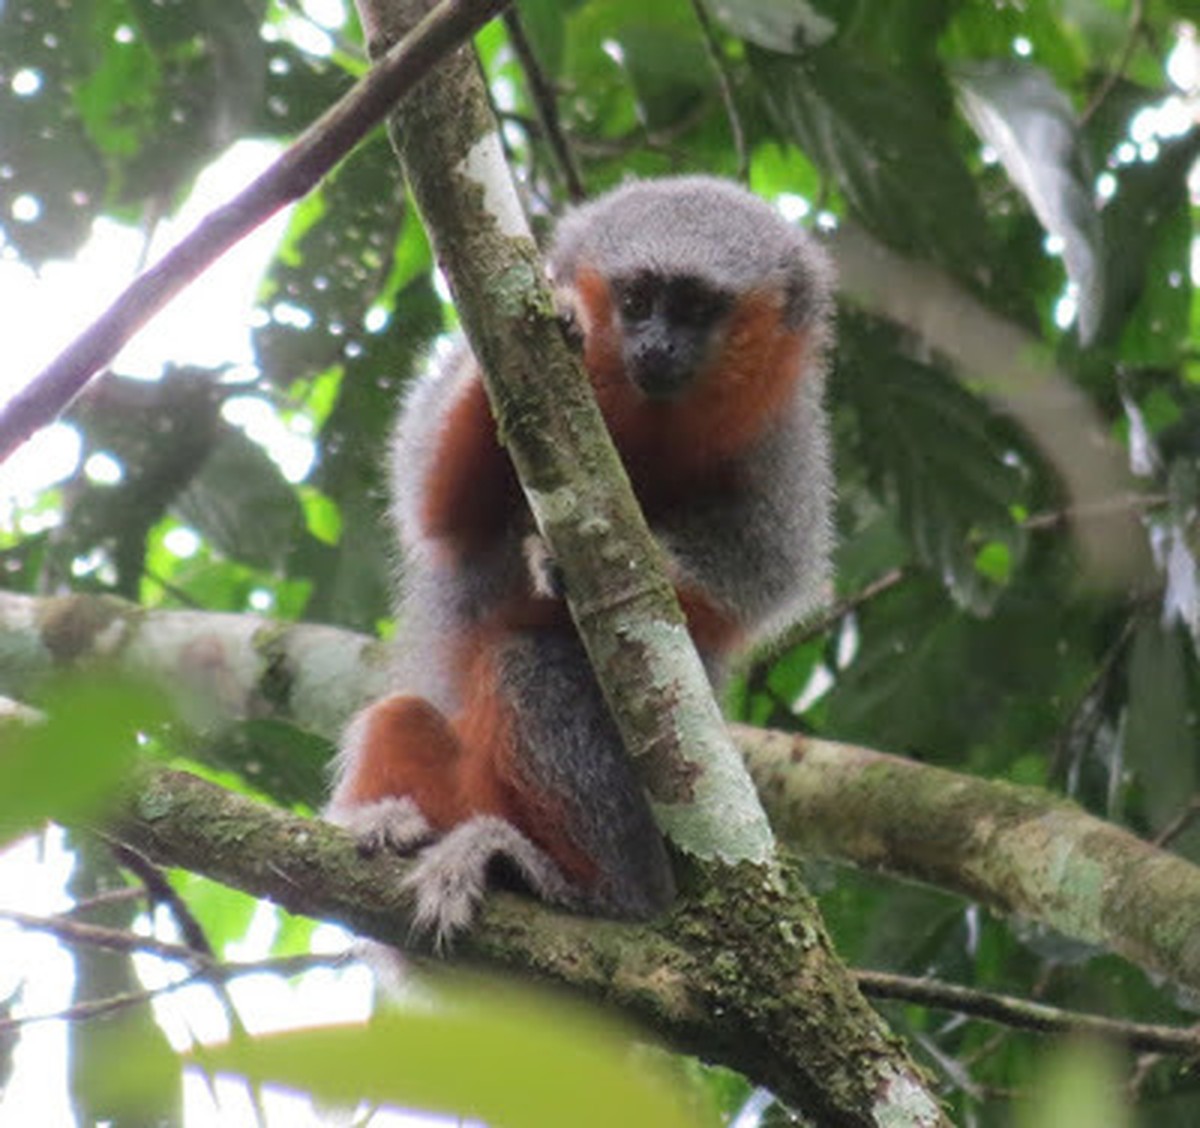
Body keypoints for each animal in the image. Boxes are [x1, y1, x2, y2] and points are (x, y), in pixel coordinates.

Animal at [326, 176, 835, 946]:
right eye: (637, 300)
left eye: (694, 308)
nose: (656, 345)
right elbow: (434, 506)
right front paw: (556, 321)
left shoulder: (787, 442)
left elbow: (761, 579)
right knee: (403, 715)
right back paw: (397, 822)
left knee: (531, 664)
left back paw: (586, 887)